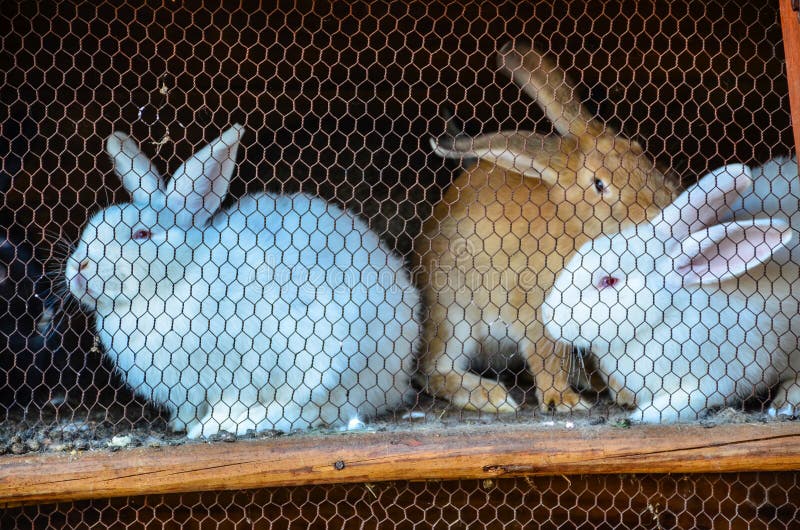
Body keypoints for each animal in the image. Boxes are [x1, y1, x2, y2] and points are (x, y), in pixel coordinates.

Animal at [64, 124, 422, 438]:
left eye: (141, 234)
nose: (80, 266)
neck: (178, 279)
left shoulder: (245, 369)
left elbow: (233, 401)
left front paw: (209, 426)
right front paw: (182, 423)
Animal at [414, 43, 681, 414]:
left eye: (638, 150)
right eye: (599, 183)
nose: (662, 206)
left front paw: (625, 392)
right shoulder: (536, 312)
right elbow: (547, 358)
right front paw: (564, 401)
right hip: (454, 315)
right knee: (432, 371)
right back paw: (492, 396)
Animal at [543, 163, 800, 422]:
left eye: (609, 280)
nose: (548, 315)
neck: (666, 315)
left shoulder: (717, 378)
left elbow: (689, 400)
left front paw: (644, 414)